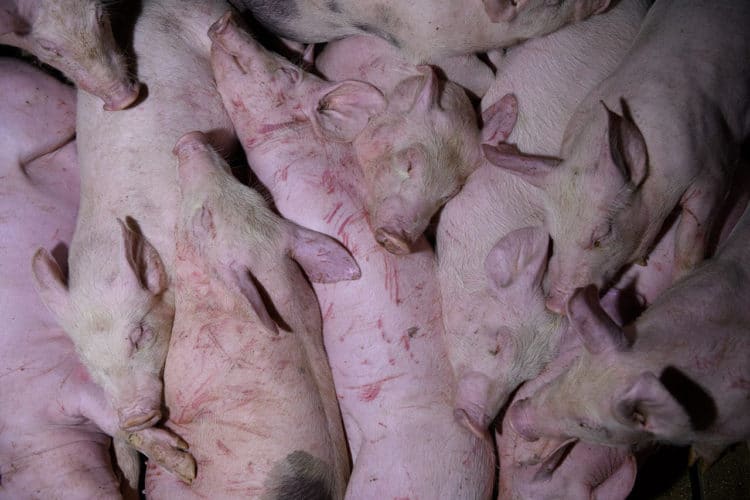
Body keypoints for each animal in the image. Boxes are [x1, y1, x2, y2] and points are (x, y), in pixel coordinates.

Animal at [0, 57, 193, 498]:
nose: (138, 413)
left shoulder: (55, 383)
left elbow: (111, 420)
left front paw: (184, 463)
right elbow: (117, 424)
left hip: (36, 103)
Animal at [488, 0, 750, 312]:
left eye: (601, 235)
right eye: (553, 236)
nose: (554, 304)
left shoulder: (712, 169)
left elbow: (690, 238)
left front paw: (683, 278)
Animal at [508, 201, 750, 464]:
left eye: (587, 425)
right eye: (572, 368)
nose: (516, 416)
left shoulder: (726, 432)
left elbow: (709, 451)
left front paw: (694, 460)